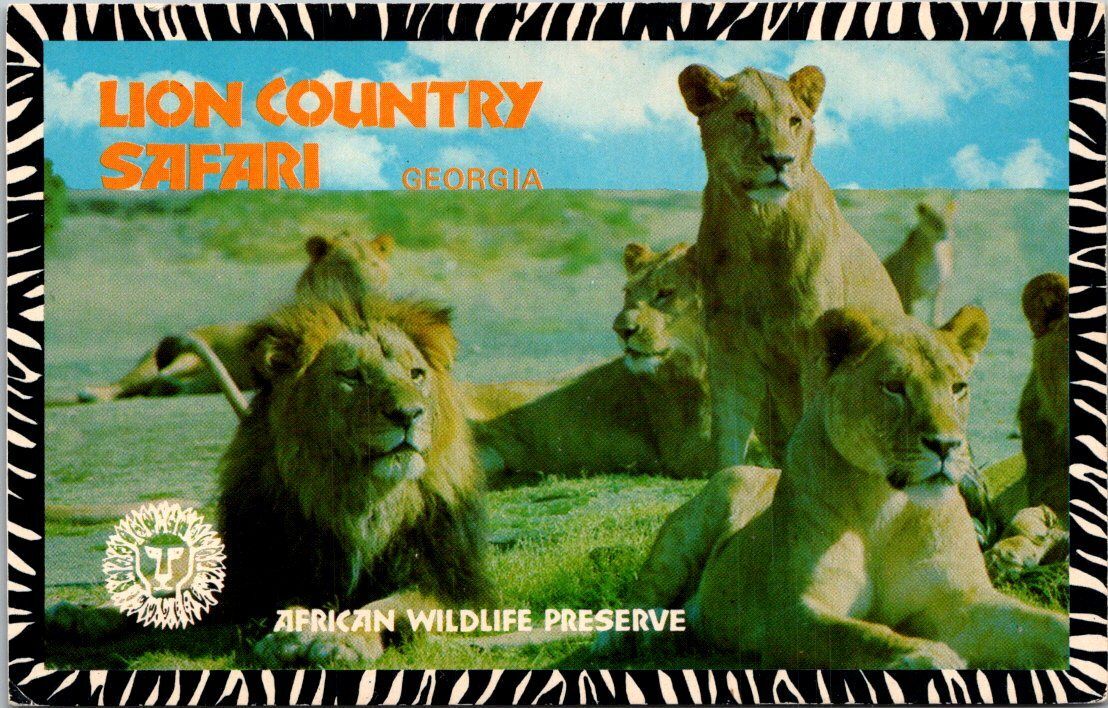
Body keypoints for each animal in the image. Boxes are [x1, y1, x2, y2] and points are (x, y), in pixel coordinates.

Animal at [73, 231, 394, 403]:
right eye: (345, 264)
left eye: (375, 265)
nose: (371, 286)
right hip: (159, 360)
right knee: (129, 383)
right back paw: (93, 392)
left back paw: (168, 387)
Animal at [599, 306, 1067, 669]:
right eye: (894, 387)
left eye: (958, 387)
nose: (947, 445)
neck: (888, 505)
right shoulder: (793, 614)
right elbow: (864, 636)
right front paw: (928, 656)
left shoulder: (960, 602)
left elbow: (1041, 624)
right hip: (714, 500)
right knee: (646, 590)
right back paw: (625, 638)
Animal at [678, 63, 902, 465]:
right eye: (746, 117)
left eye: (794, 121)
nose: (781, 160)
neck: (758, 224)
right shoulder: (728, 345)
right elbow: (728, 434)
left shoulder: (816, 343)